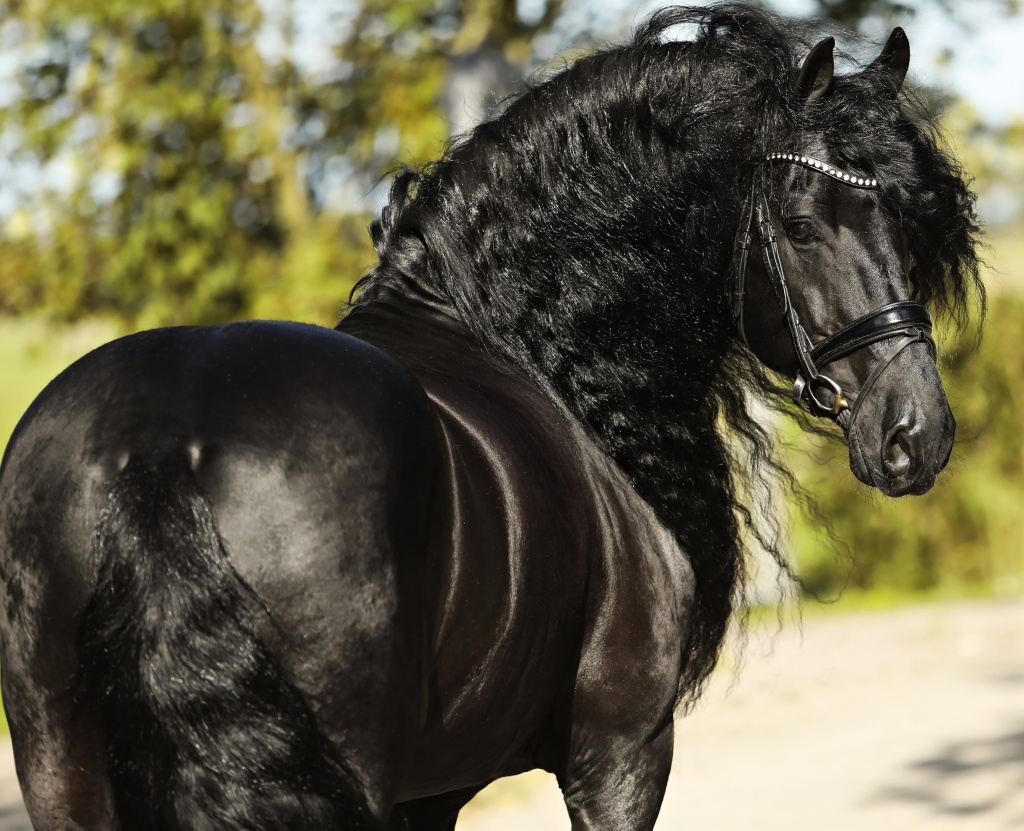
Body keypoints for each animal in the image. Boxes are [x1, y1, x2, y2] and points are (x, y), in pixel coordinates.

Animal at [0, 5, 982, 829]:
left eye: (904, 221)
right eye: (803, 224)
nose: (916, 431)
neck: (529, 340)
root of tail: (162, 437)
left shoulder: (434, 790)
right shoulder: (619, 755)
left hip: (63, 769)